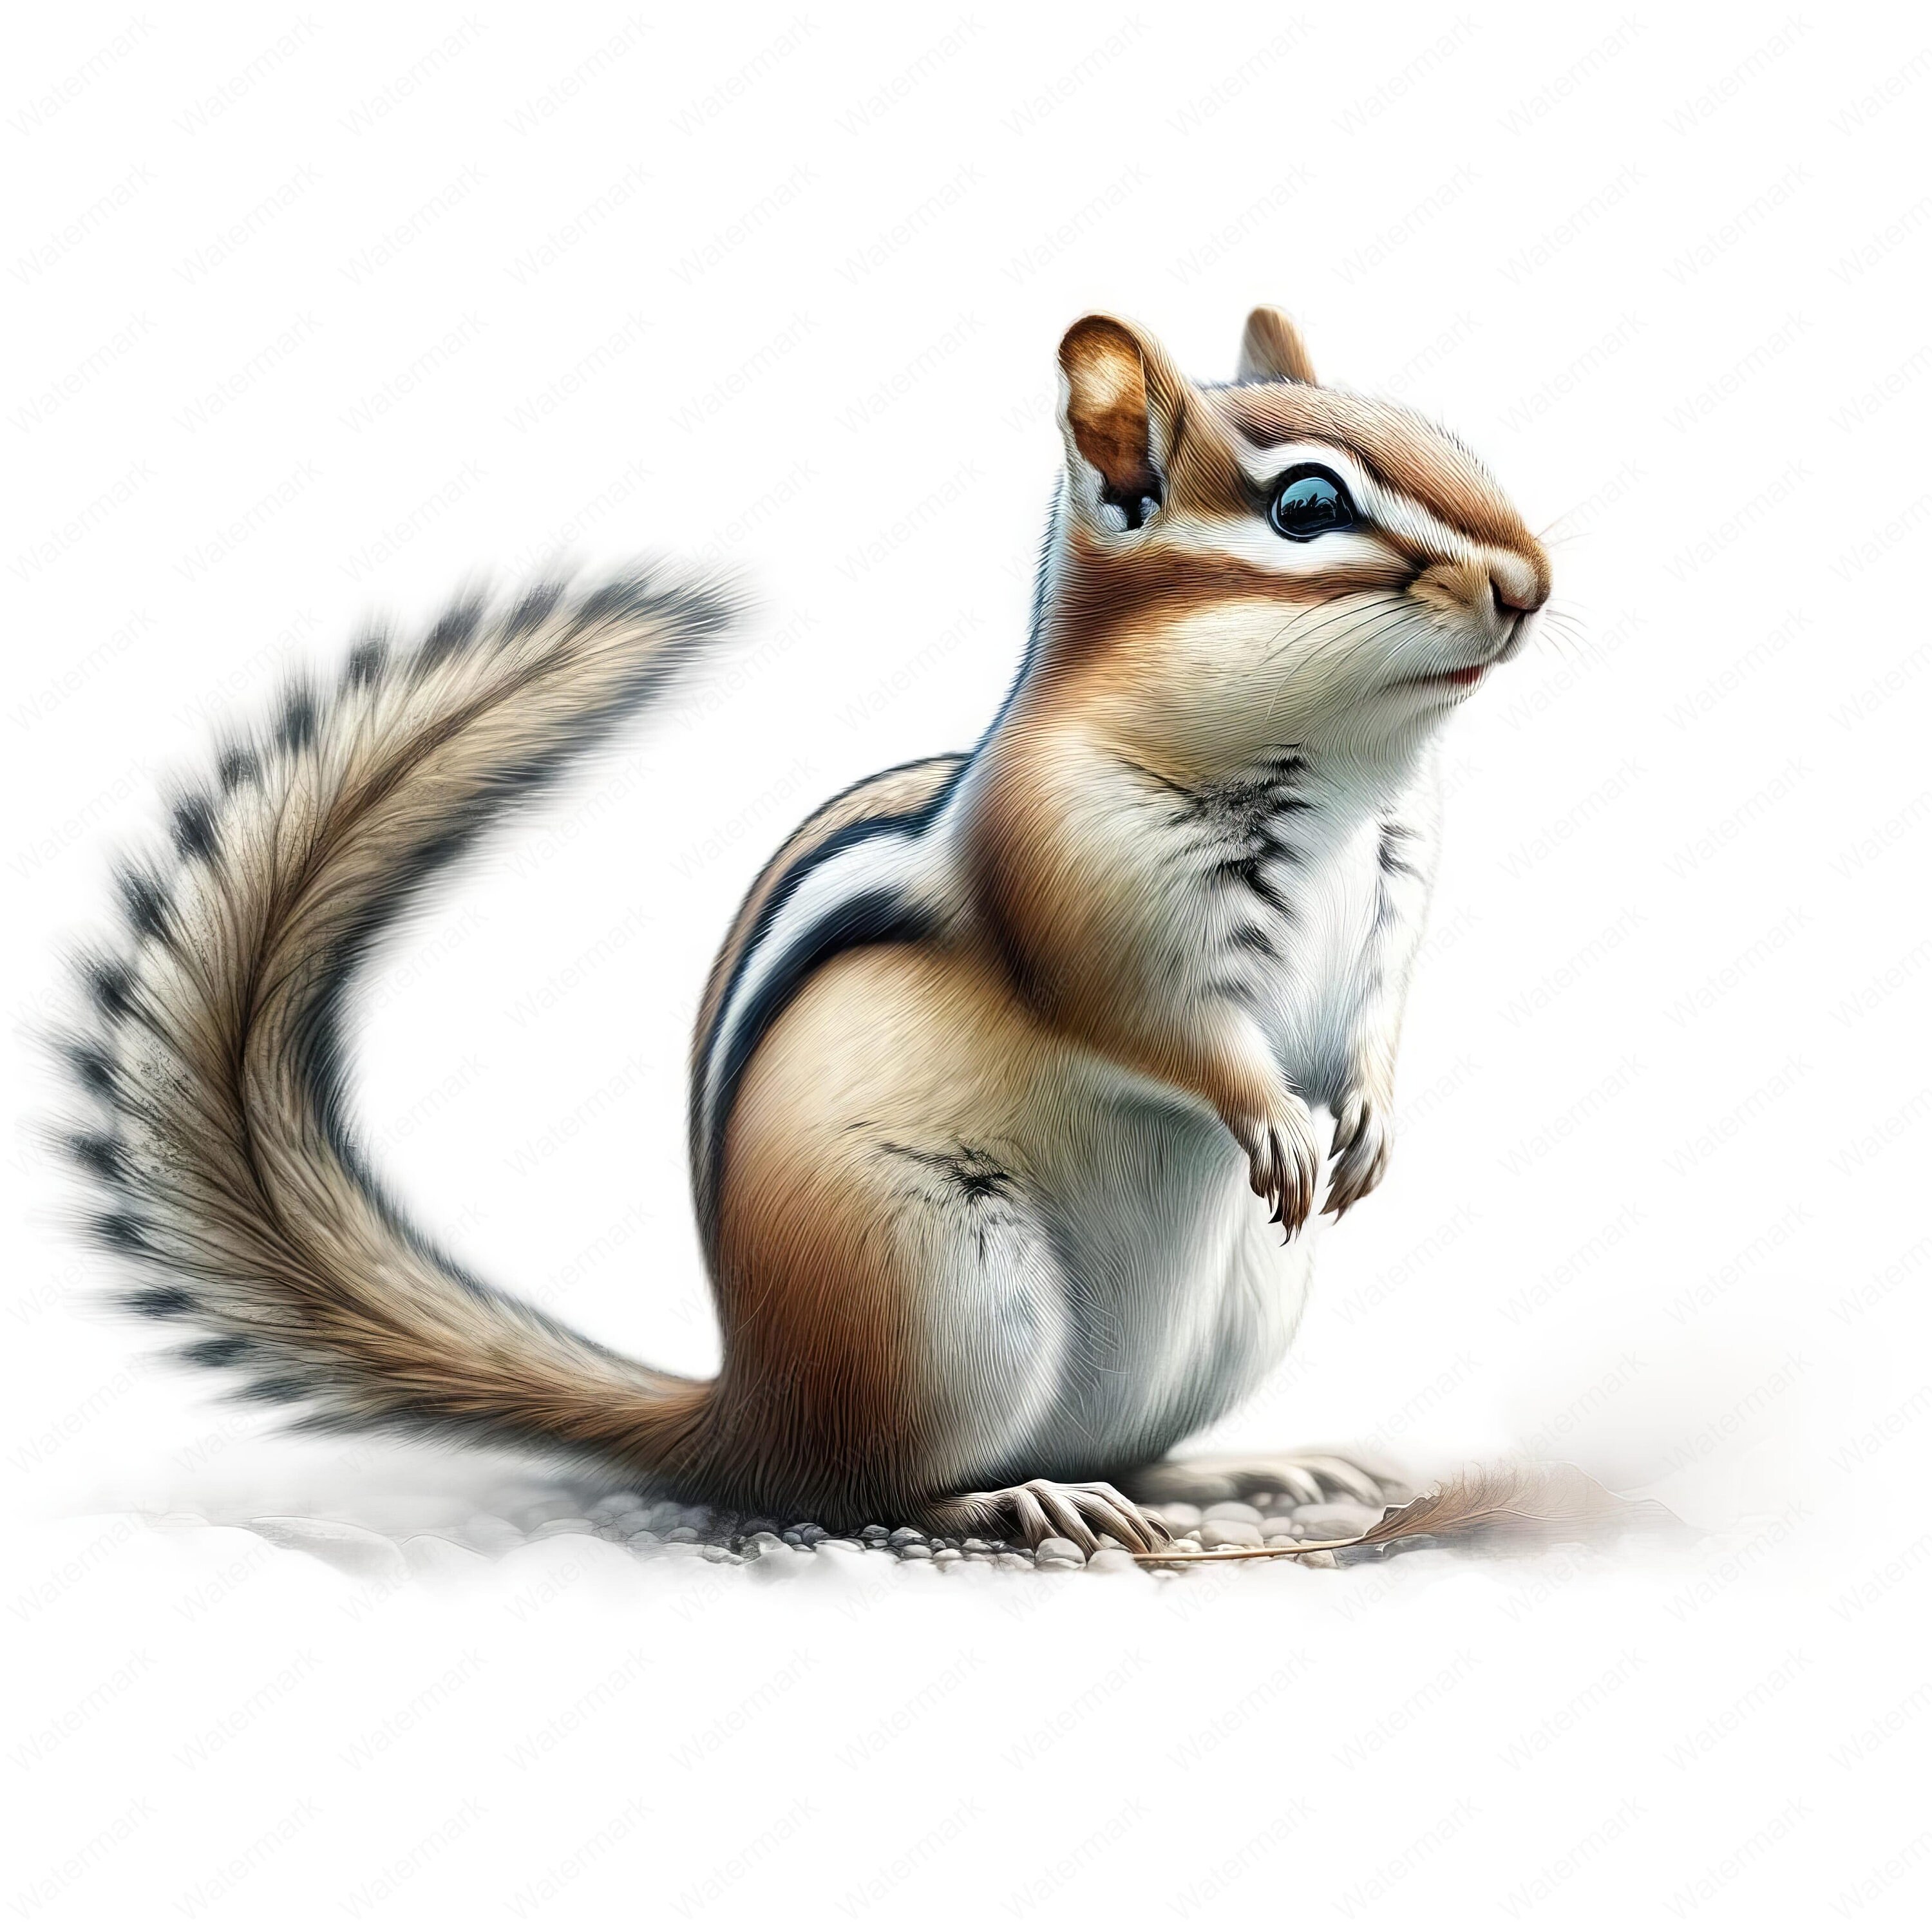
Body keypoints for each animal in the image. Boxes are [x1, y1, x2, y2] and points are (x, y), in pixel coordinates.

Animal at [62, 308, 1548, 1555]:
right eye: (1307, 506)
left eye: (1446, 437)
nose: (1531, 584)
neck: (1337, 780)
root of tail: (740, 1412)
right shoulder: (1079, 889)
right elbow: (1163, 1028)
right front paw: (1275, 1117)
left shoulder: (1403, 886)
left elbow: (1378, 1016)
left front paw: (1369, 1117)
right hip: (941, 1289)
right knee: (865, 1488)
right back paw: (1017, 1498)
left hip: (1224, 1317)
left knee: (1121, 1451)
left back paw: (1236, 1470)